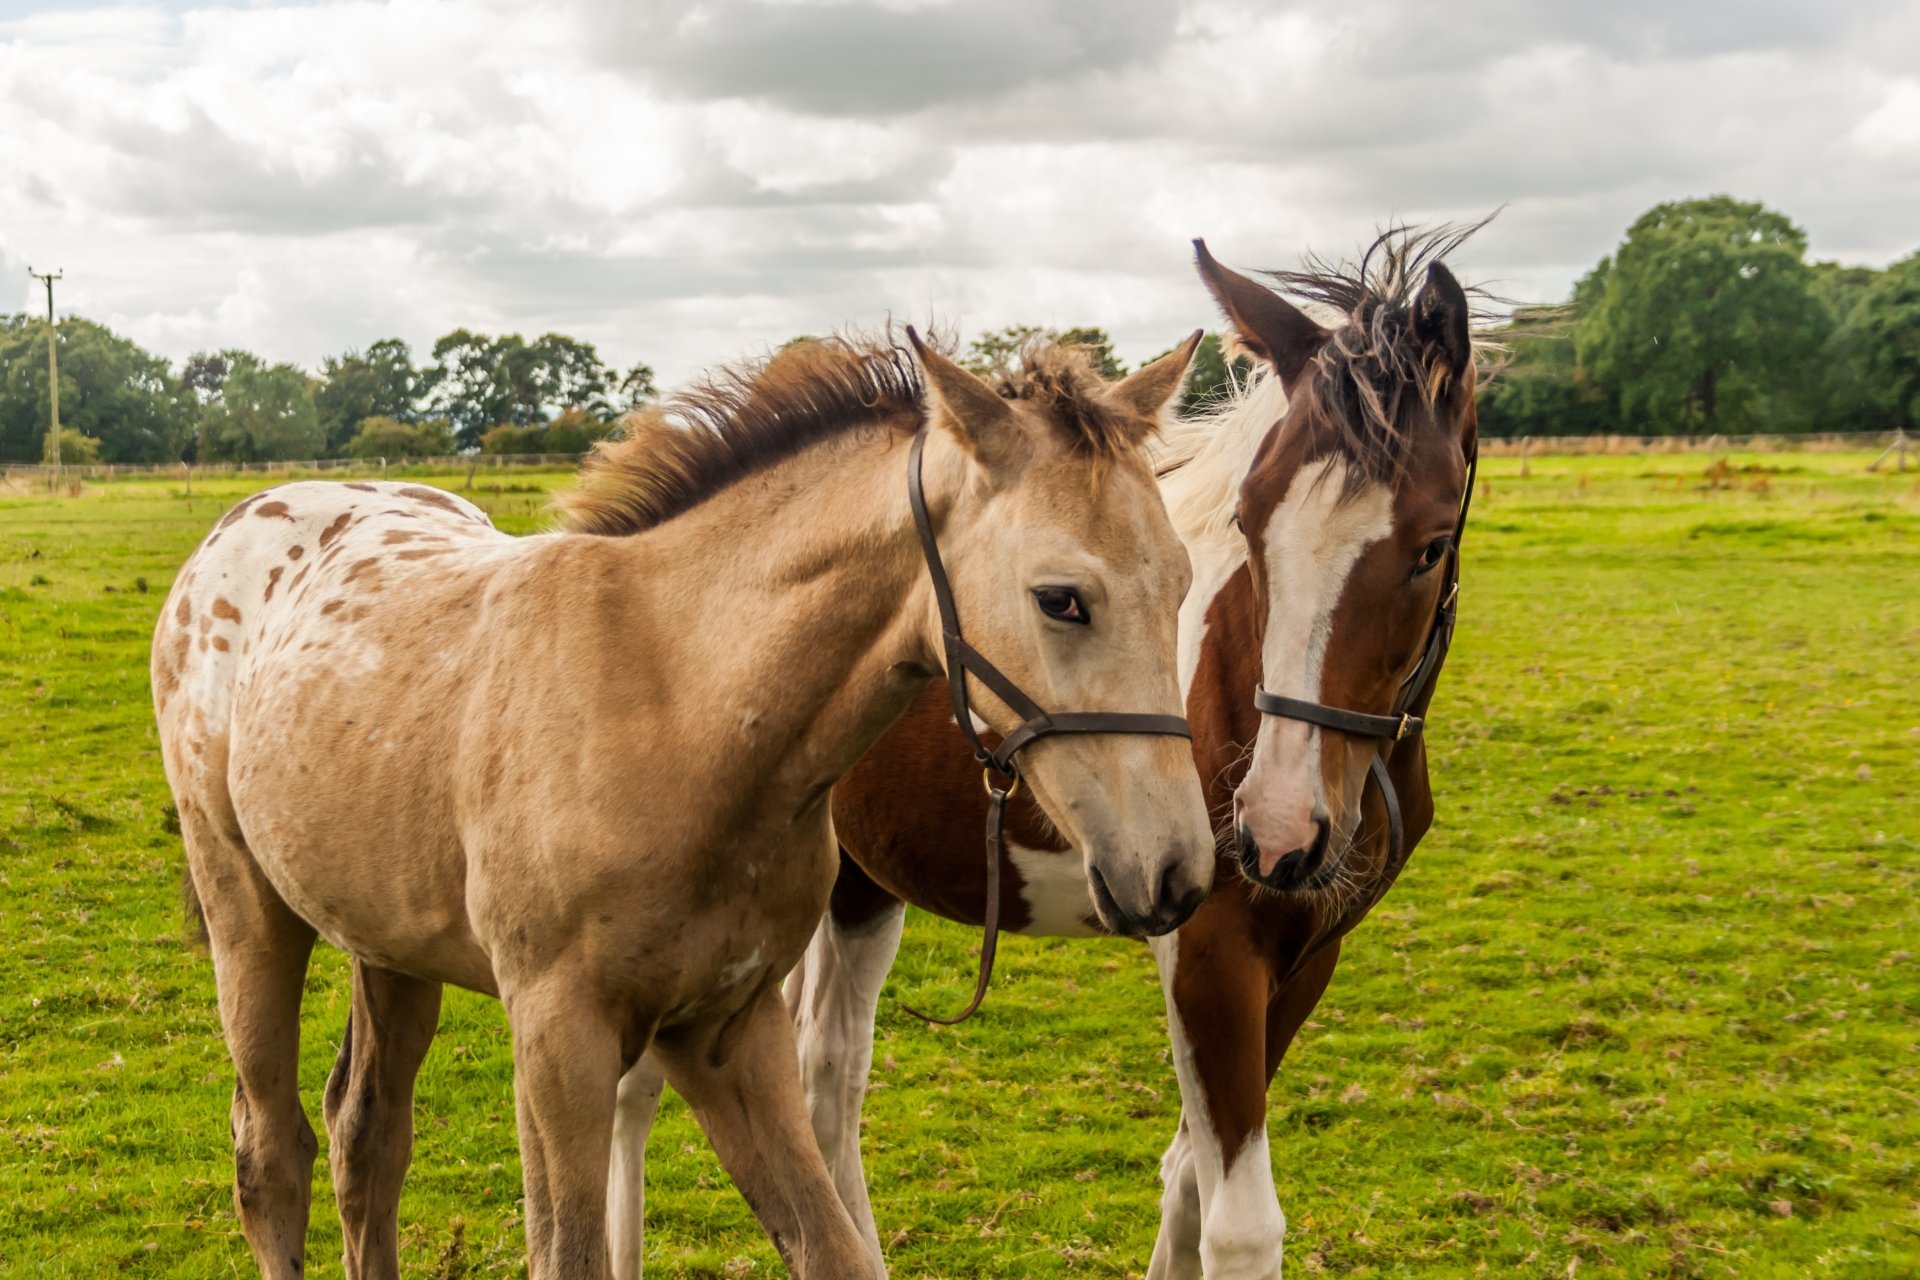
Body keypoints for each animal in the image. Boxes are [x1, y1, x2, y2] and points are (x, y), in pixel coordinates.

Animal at [151, 328, 1219, 1280]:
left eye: (1182, 581)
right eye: (1061, 598)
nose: (1176, 872)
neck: (679, 708)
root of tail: (241, 524)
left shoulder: (727, 1032)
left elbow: (829, 1249)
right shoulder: (560, 1039)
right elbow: (569, 1256)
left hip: (389, 945)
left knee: (366, 1136)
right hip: (247, 912)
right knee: (271, 1150)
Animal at [729, 229, 1484, 1279]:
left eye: (1429, 546)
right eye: (1249, 520)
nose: (1275, 830)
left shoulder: (1308, 952)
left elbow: (1187, 1181)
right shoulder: (1210, 948)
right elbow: (1240, 1223)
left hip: (861, 884)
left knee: (828, 1073)